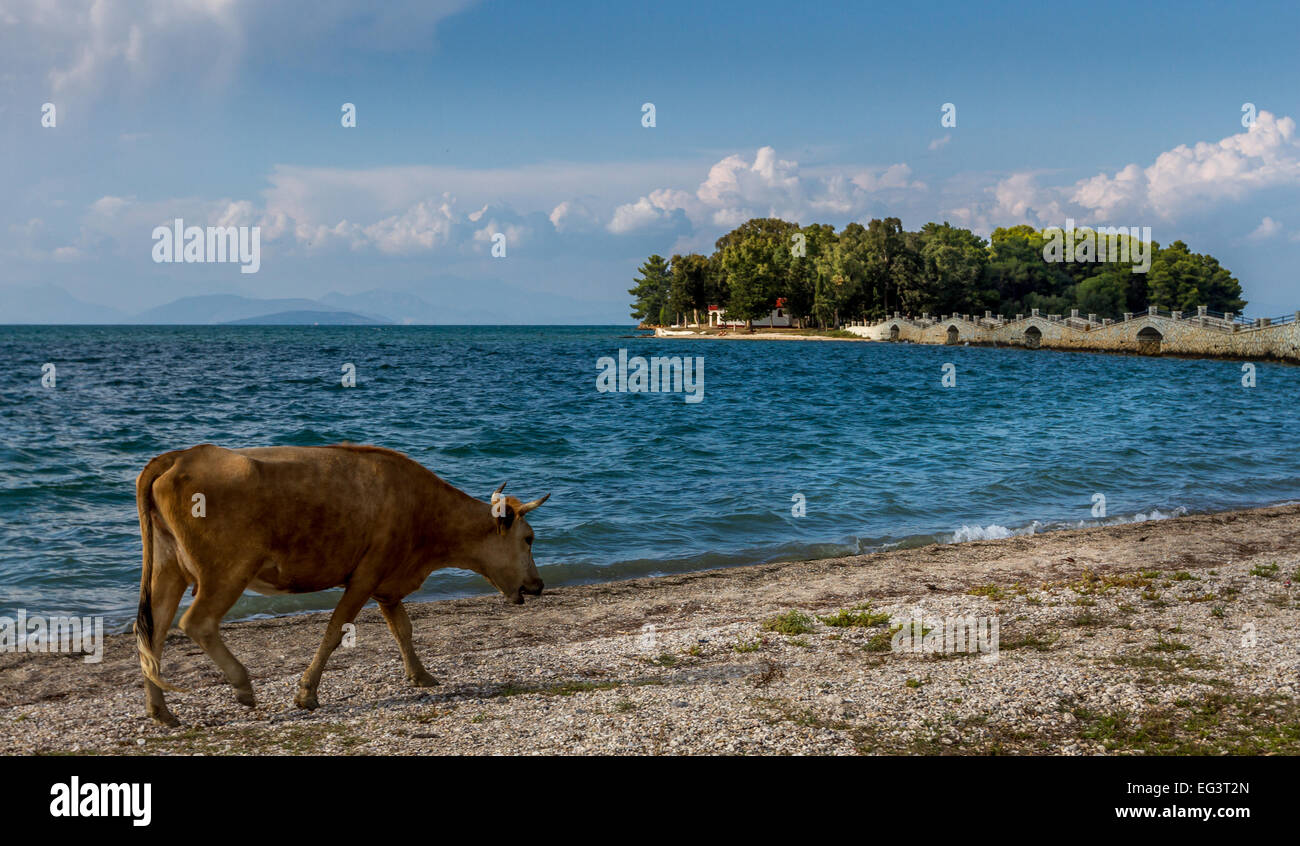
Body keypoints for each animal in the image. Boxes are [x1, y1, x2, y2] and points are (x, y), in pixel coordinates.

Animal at [133, 443, 549, 726]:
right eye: (528, 538)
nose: (539, 584)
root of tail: (180, 456)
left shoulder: (387, 582)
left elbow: (403, 630)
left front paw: (421, 675)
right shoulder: (367, 575)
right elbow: (336, 630)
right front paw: (306, 694)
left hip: (169, 568)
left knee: (152, 632)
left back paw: (160, 711)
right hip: (226, 570)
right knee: (195, 623)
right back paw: (242, 687)